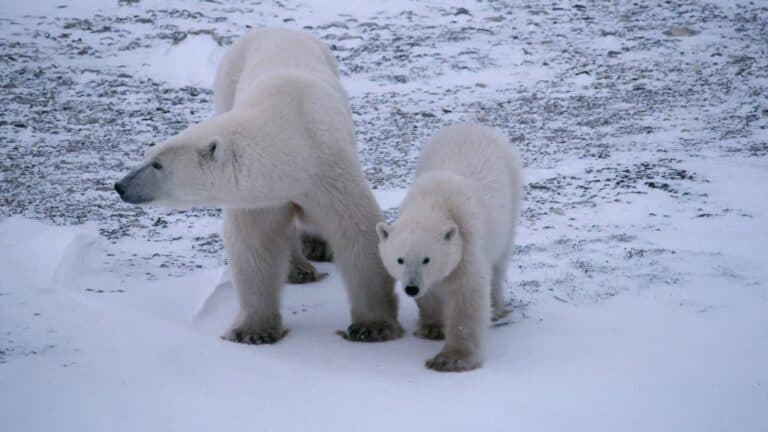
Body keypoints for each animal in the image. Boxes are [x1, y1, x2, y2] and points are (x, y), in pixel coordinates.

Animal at [115, 27, 402, 344]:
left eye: (157, 164)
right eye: (147, 155)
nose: (120, 186)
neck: (293, 138)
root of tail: (275, 29)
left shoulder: (328, 169)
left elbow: (356, 231)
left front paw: (372, 326)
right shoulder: (260, 195)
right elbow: (255, 243)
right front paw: (253, 331)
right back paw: (299, 268)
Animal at [376, 122, 523, 372]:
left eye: (427, 259)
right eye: (400, 259)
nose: (411, 288)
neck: (434, 201)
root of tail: (473, 125)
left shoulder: (467, 240)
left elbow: (467, 294)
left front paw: (451, 358)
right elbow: (431, 291)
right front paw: (433, 327)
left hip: (512, 193)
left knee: (499, 262)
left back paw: (496, 308)